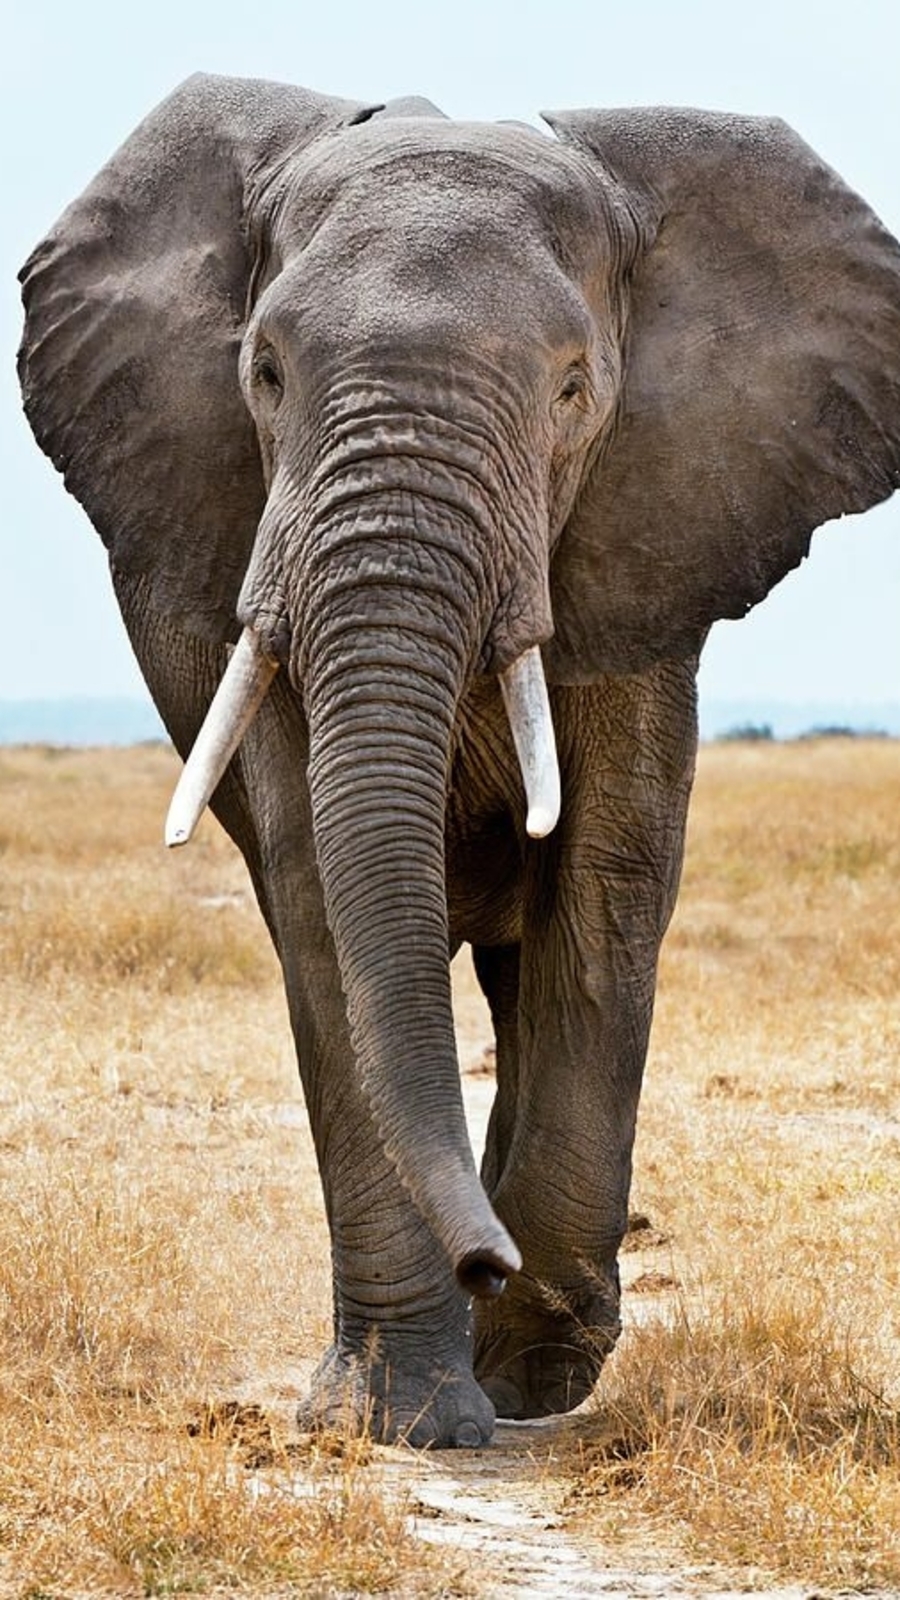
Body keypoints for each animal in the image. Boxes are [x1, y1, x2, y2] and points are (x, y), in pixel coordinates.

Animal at [18, 75, 900, 1448]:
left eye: (575, 391)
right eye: (264, 372)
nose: (483, 1261)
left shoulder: (642, 539)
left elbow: (605, 880)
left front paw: (531, 1367)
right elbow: (320, 891)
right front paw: (402, 1416)